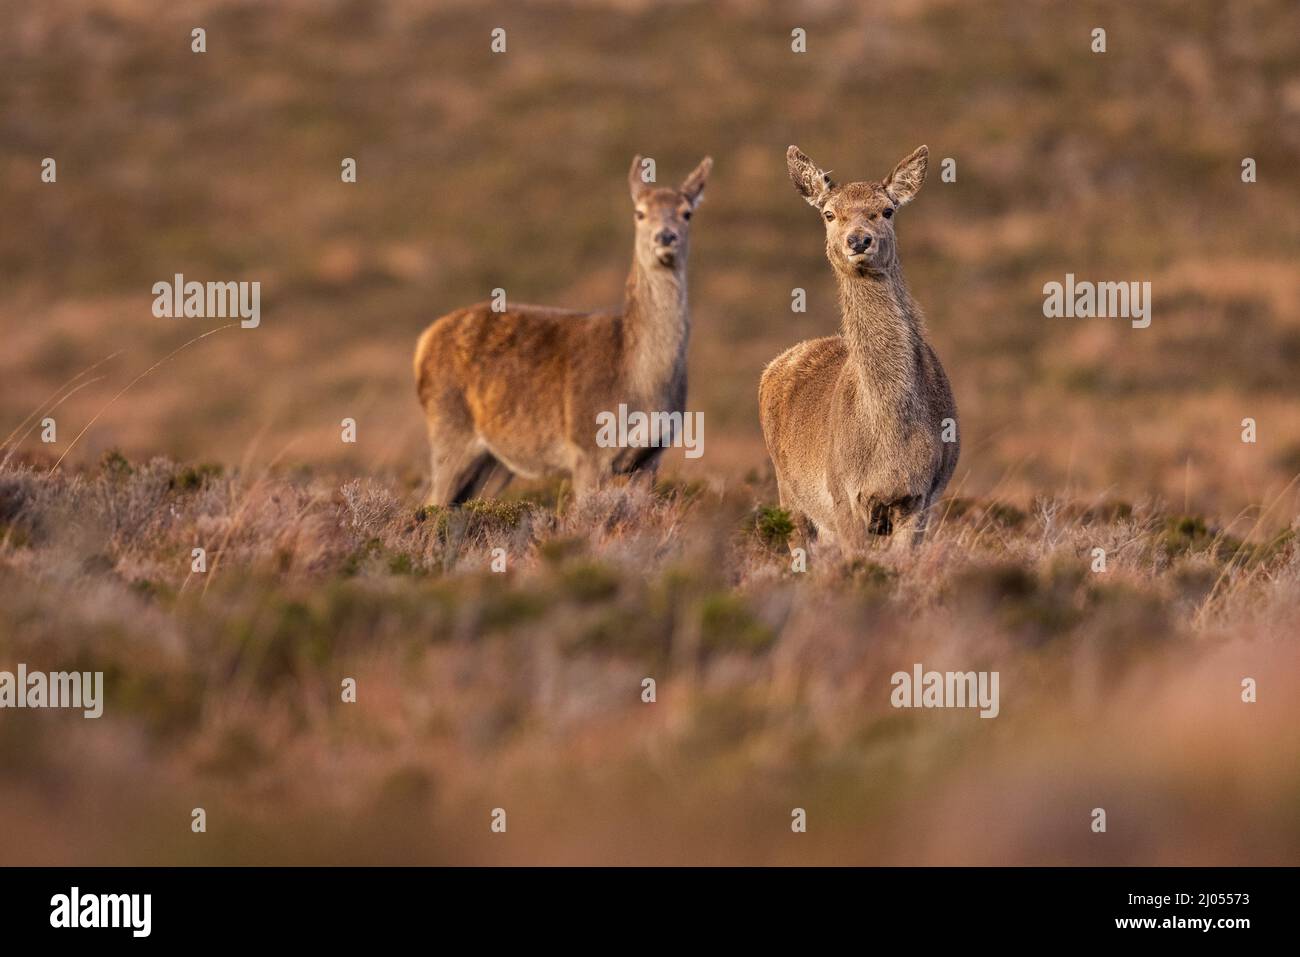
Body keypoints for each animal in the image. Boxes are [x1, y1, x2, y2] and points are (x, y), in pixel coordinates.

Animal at [414, 155, 712, 505]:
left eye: (686, 212)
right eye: (639, 212)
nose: (665, 237)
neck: (640, 385)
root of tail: (423, 342)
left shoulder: (652, 457)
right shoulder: (587, 447)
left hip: (495, 462)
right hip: (450, 428)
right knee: (430, 503)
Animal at [759, 145, 958, 552]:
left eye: (887, 210)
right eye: (829, 213)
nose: (858, 240)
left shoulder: (922, 496)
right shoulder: (842, 494)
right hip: (789, 490)